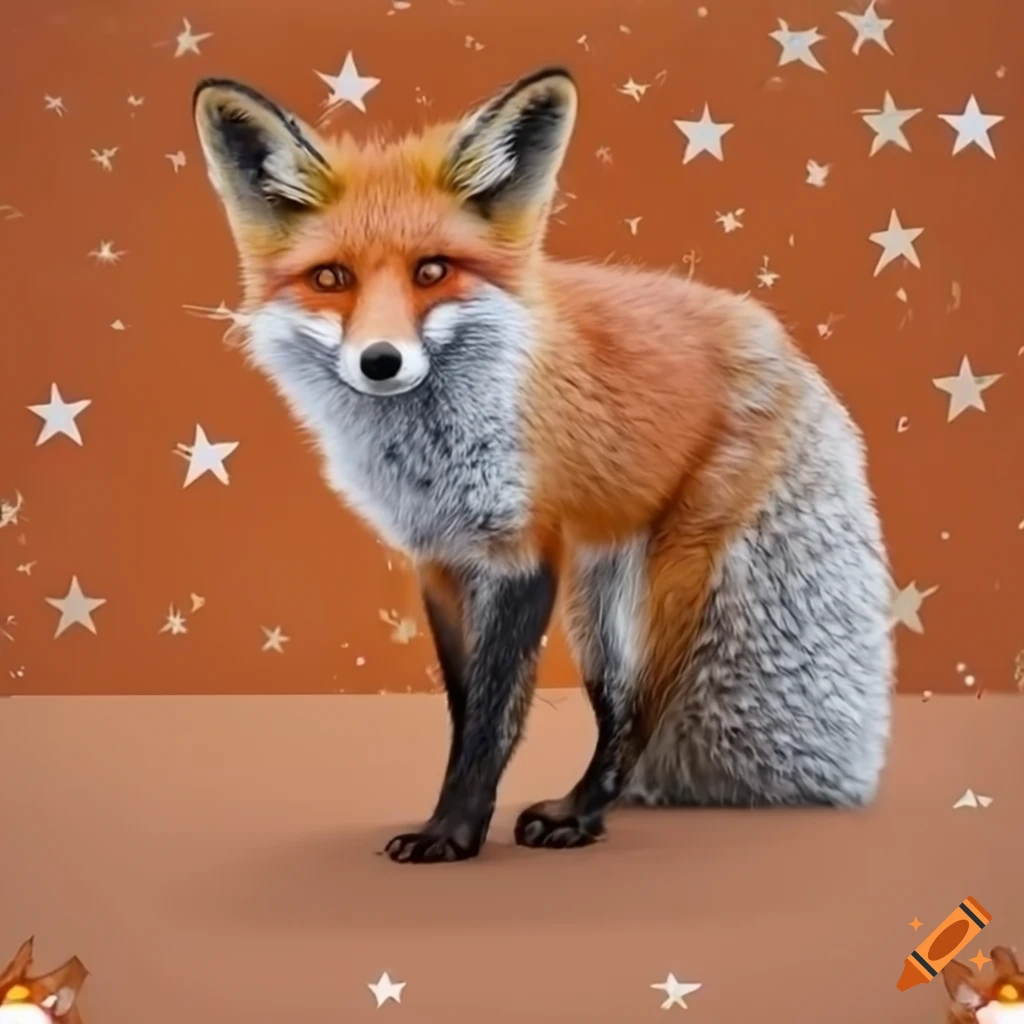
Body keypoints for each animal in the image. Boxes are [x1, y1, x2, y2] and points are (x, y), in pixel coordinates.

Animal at [192, 65, 894, 864]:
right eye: (332, 278)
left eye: (432, 271)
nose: (380, 362)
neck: (433, 449)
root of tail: (780, 338)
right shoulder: (441, 560)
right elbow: (467, 711)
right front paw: (459, 822)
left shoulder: (520, 554)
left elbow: (493, 718)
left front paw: (452, 832)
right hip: (597, 604)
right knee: (617, 707)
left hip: (665, 583)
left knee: (641, 712)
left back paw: (579, 815)